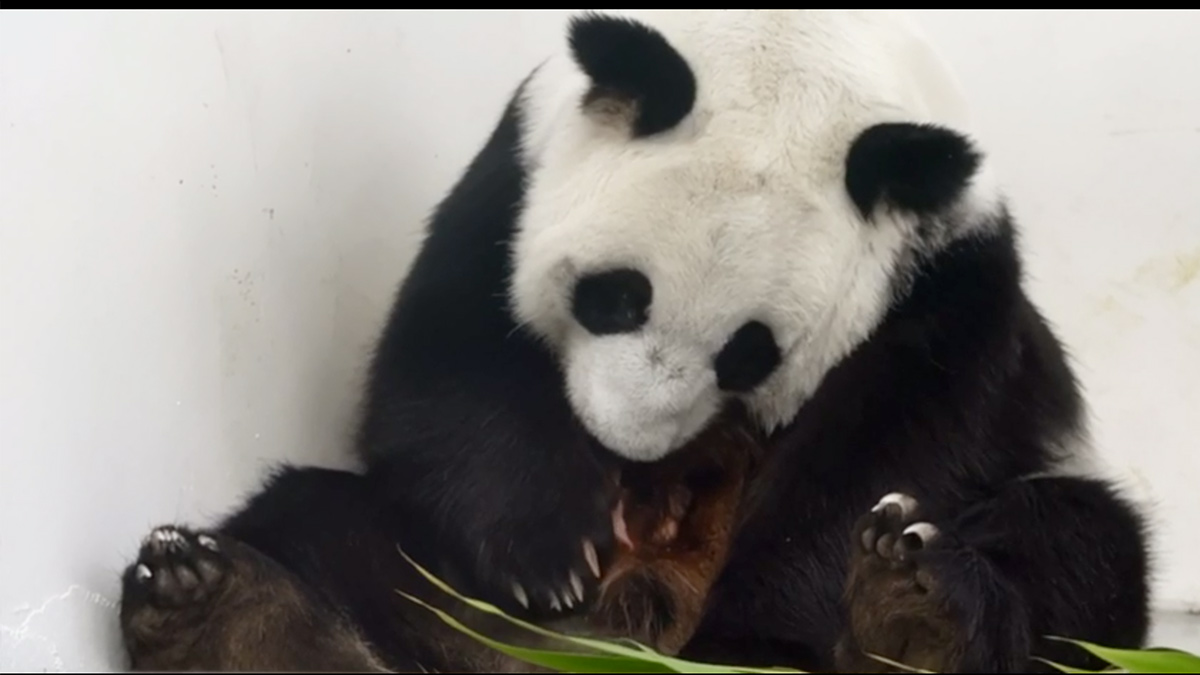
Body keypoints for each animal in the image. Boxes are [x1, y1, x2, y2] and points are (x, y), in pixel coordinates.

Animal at [118, 9, 1151, 674]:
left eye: (751, 351)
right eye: (613, 297)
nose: (626, 447)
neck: (801, 36)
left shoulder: (949, 273)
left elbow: (896, 440)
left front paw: (754, 635)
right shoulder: (516, 172)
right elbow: (448, 365)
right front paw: (544, 553)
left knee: (1076, 546)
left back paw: (912, 614)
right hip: (423, 579)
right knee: (332, 531)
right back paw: (220, 614)